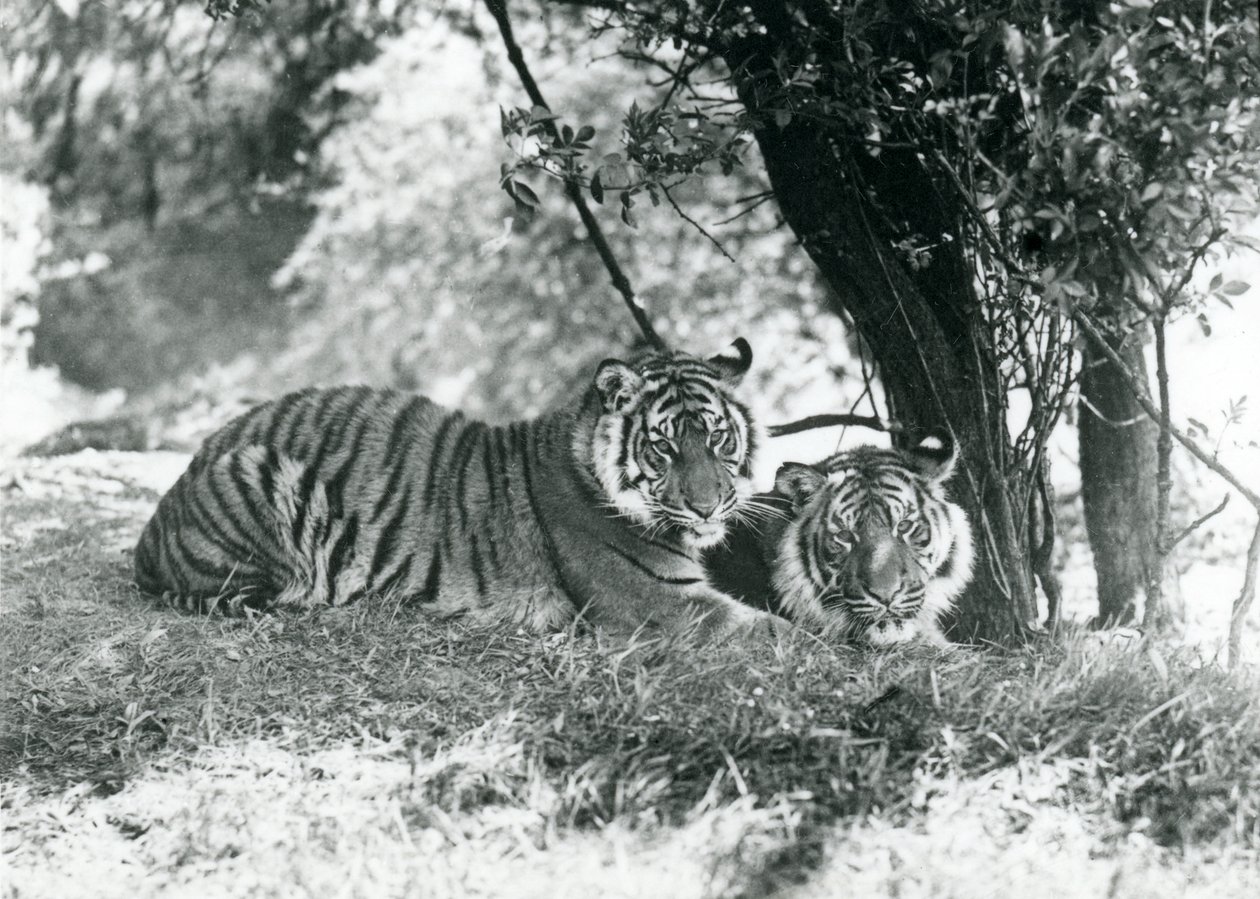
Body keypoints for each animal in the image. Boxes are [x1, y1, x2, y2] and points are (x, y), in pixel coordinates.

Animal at [133, 339, 792, 643]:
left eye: (717, 437)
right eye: (663, 447)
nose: (709, 505)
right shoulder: (664, 604)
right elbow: (784, 632)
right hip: (256, 475)